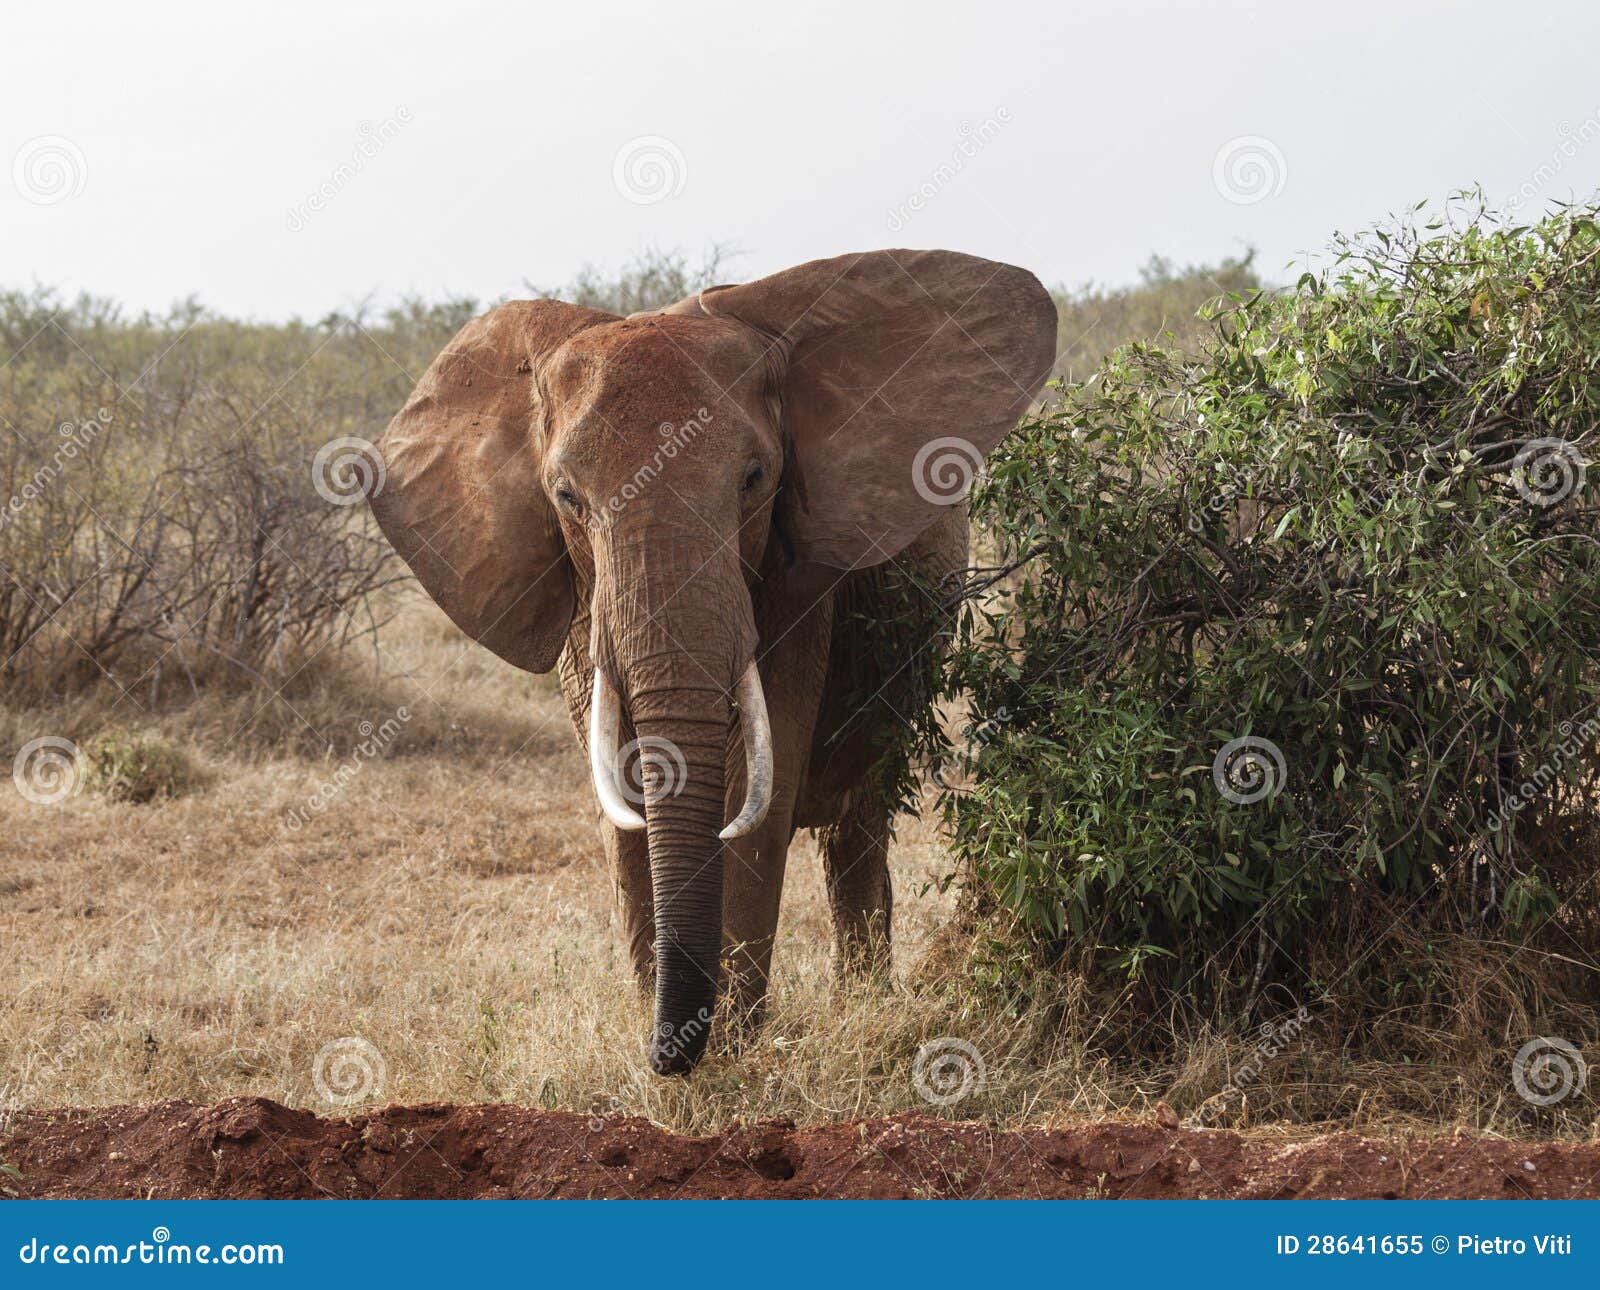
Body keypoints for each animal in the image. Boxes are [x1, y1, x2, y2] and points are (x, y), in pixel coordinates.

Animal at [368, 249, 1057, 1074]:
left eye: (755, 480)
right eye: (566, 496)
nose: (665, 1053)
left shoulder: (799, 585)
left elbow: (759, 784)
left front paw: (731, 1047)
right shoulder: (581, 606)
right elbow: (621, 789)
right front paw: (663, 1030)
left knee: (857, 826)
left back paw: (862, 1002)